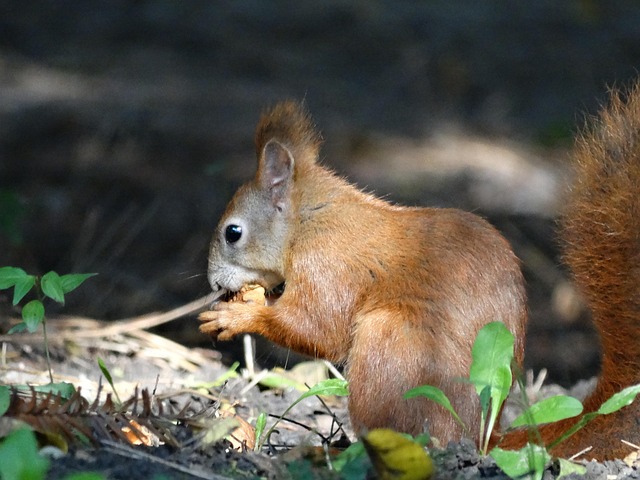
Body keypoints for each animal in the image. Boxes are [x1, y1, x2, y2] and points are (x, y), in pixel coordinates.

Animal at [199, 83, 640, 460]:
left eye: (233, 232)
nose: (214, 282)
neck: (309, 221)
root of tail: (478, 440)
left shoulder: (326, 265)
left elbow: (317, 327)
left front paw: (239, 315)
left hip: (391, 348)